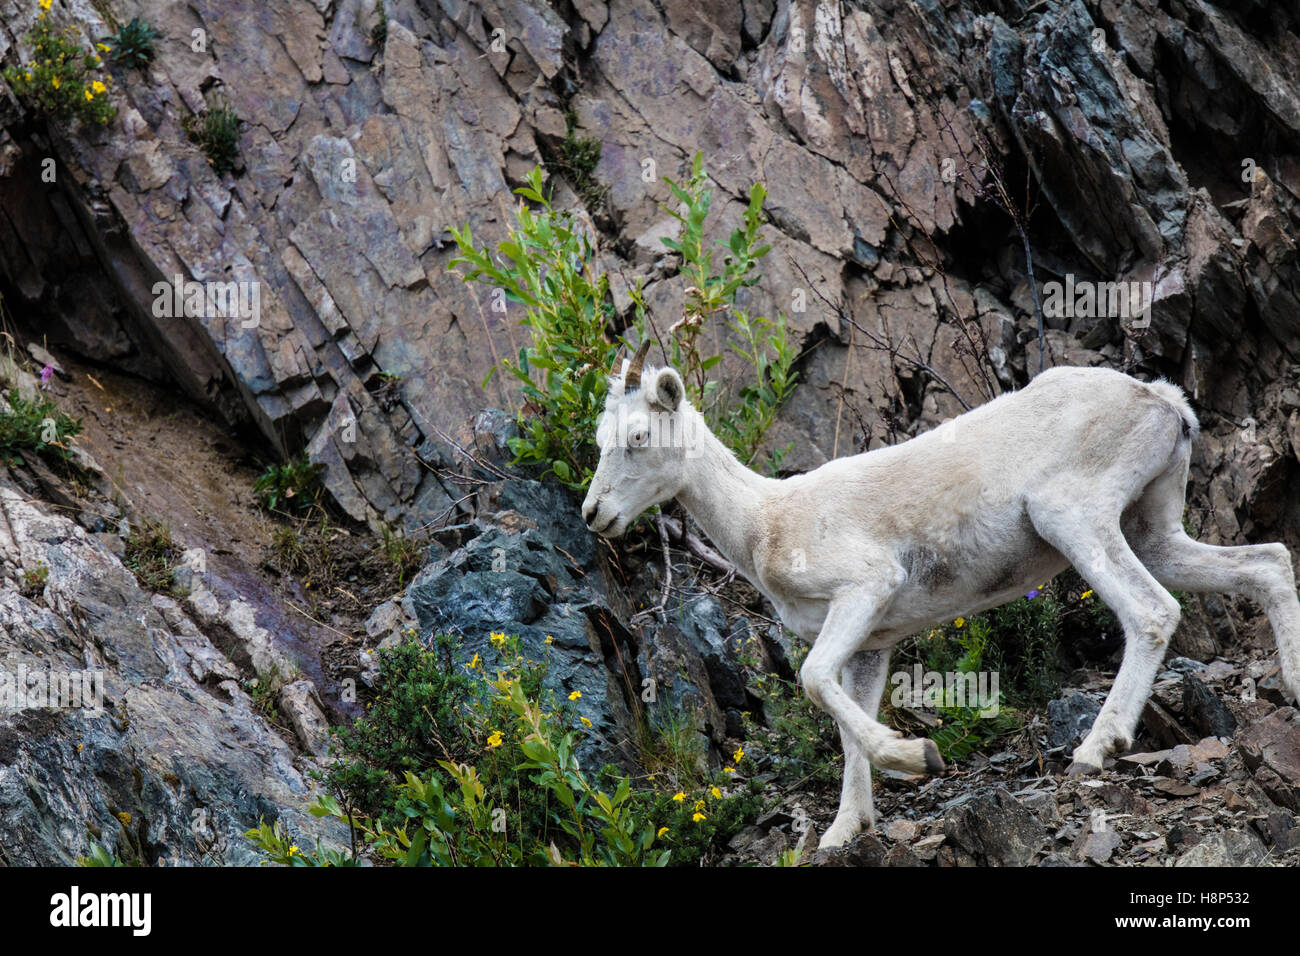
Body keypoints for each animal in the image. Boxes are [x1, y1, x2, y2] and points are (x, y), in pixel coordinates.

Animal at [582, 341, 1300, 849]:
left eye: (639, 438)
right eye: (600, 440)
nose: (594, 514)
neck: (767, 521)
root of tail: (1164, 404)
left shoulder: (864, 590)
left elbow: (814, 683)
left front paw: (918, 758)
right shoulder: (871, 645)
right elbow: (846, 724)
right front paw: (845, 831)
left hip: (1073, 517)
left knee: (1152, 612)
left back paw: (1098, 747)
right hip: (1153, 529)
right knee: (1267, 563)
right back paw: (1293, 688)